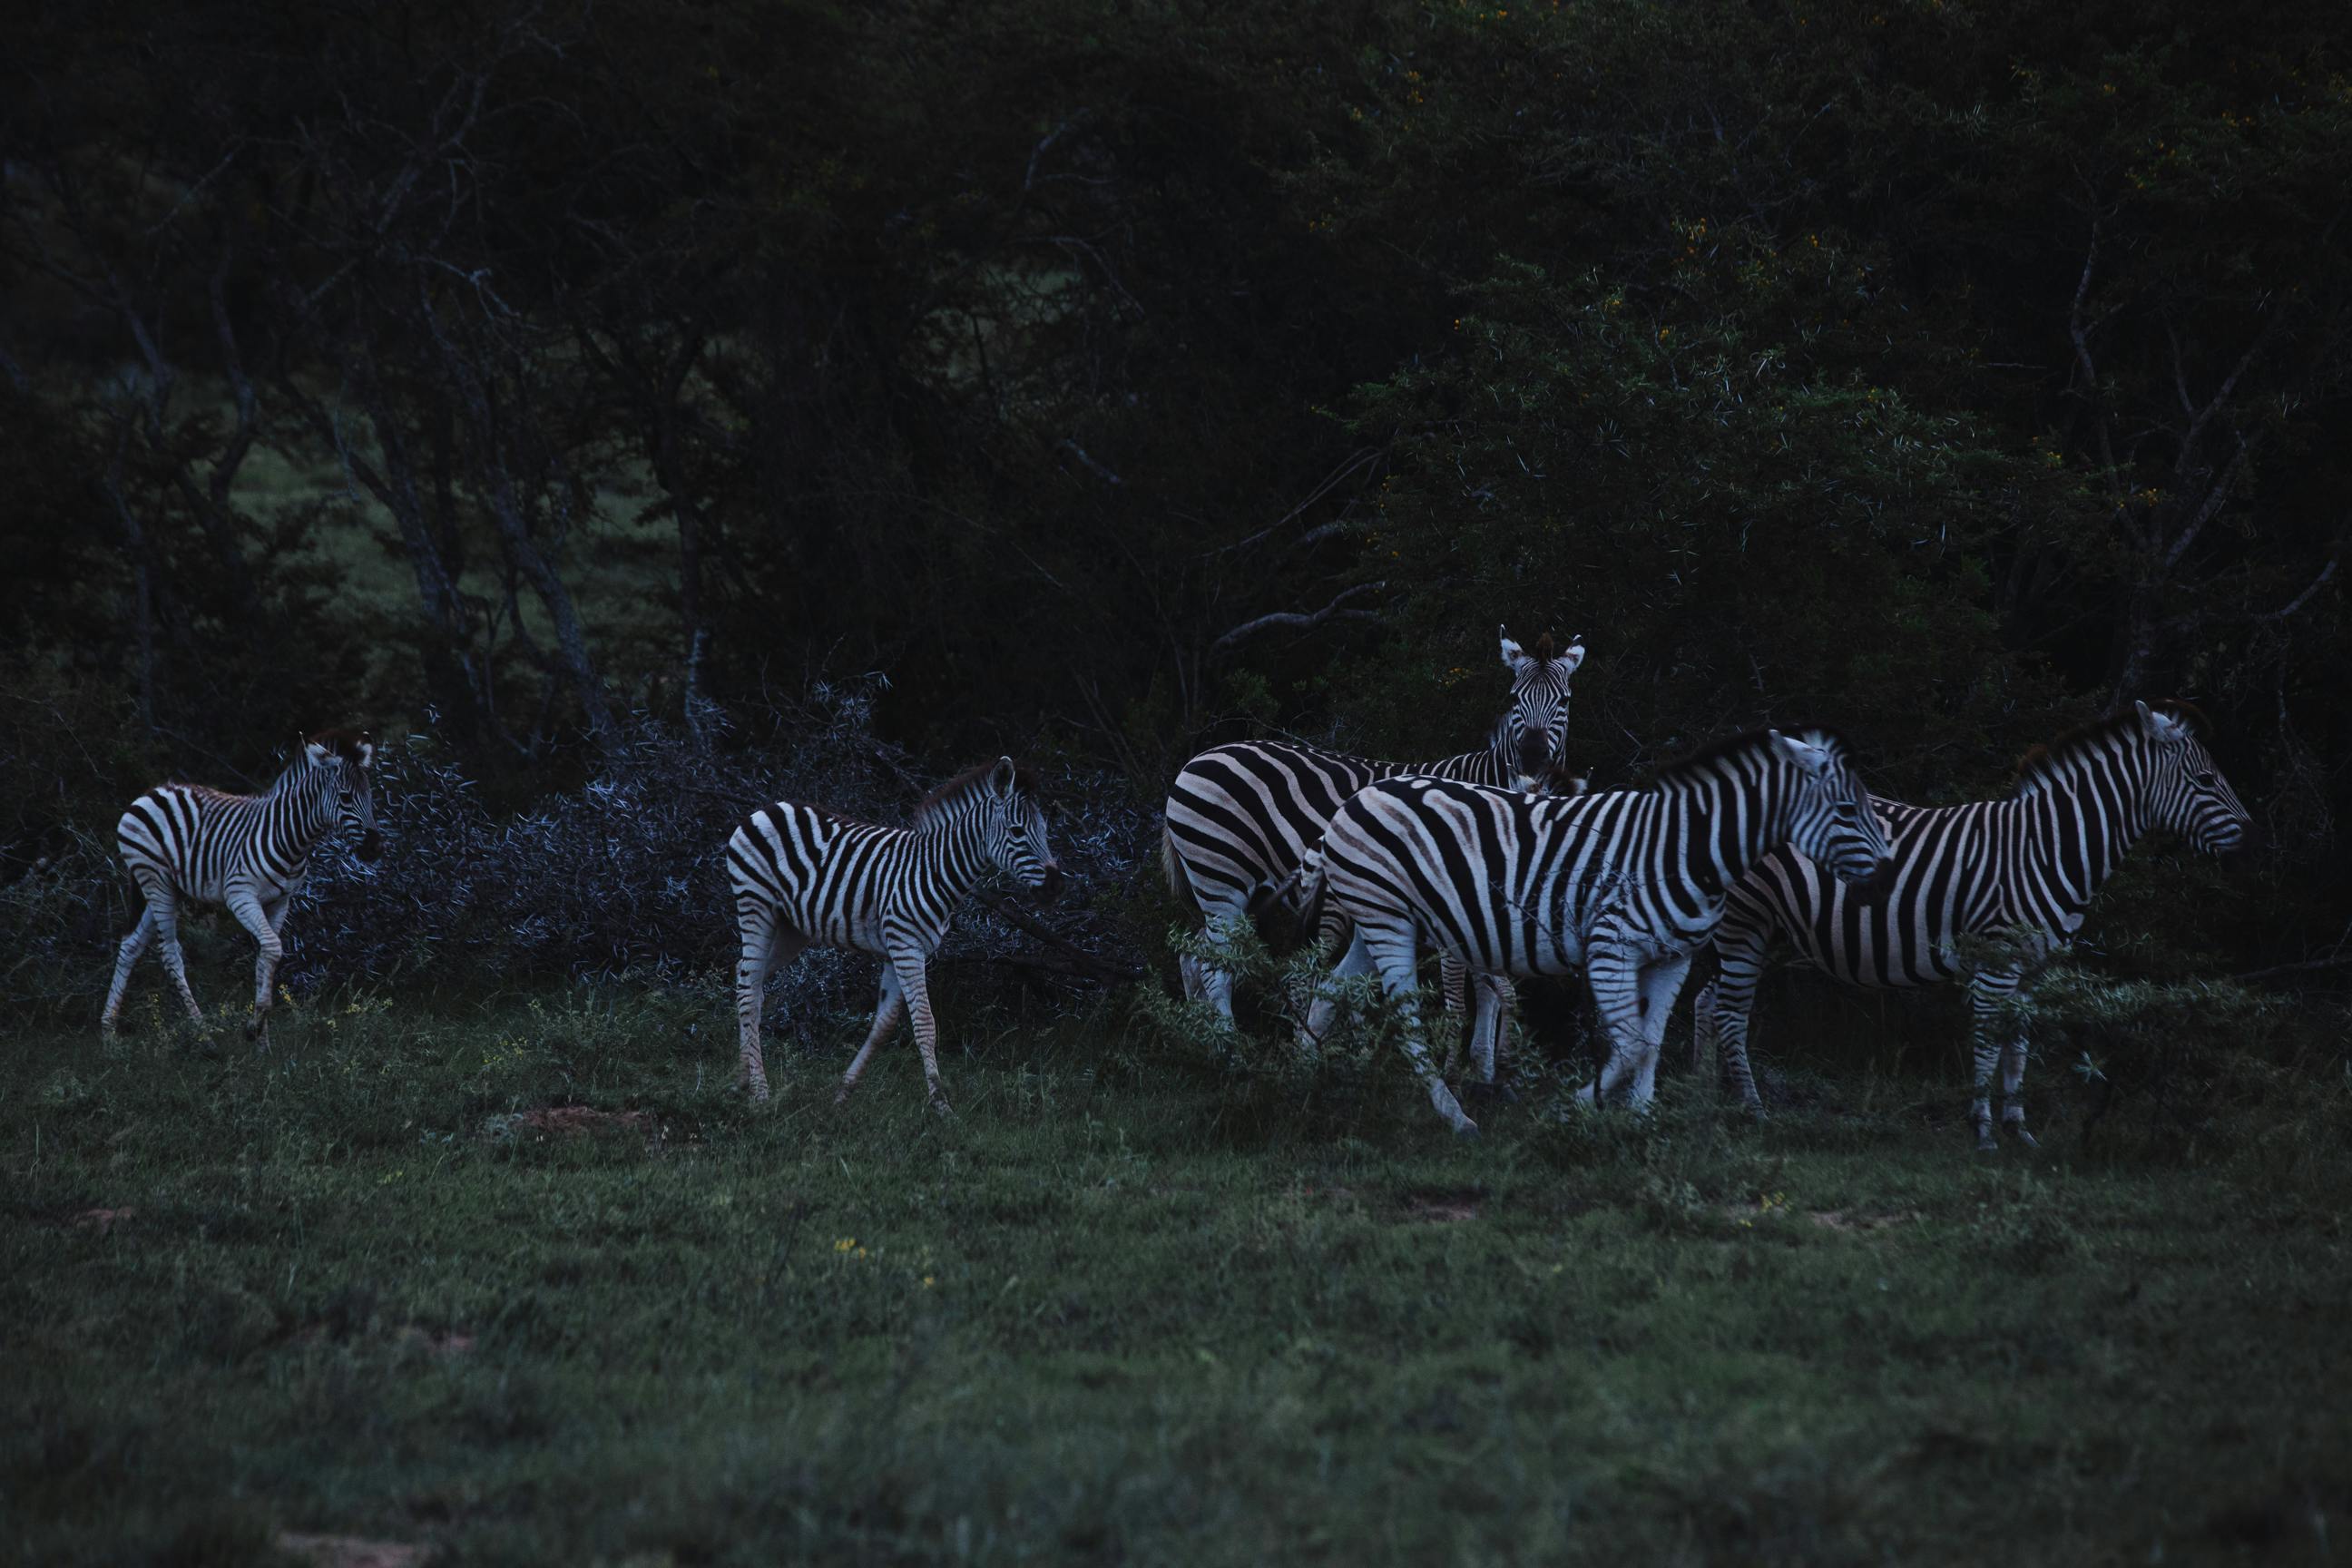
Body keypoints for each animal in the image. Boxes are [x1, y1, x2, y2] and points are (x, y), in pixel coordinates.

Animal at [101, 730, 384, 1044]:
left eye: (370, 795)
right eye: (345, 798)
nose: (375, 848)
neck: (289, 837)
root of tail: (151, 793)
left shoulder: (281, 901)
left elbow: (265, 956)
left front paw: (262, 1039)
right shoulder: (240, 895)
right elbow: (272, 948)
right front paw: (254, 1027)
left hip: (163, 887)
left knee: (131, 945)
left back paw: (109, 1033)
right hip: (154, 877)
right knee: (170, 952)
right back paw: (203, 1033)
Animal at [725, 756, 1060, 1113]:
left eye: (1044, 830)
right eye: (1017, 831)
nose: (1057, 887)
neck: (935, 869)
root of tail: (768, 808)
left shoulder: (900, 950)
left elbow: (883, 1025)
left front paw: (843, 1094)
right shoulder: (906, 945)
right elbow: (925, 1022)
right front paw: (940, 1103)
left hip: (791, 928)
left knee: (748, 979)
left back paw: (742, 1080)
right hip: (755, 904)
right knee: (748, 988)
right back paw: (761, 1092)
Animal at [1161, 627, 1586, 1076]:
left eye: (1564, 700)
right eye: (1514, 697)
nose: (1533, 757)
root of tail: (1198, 758)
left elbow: (1488, 990)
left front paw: (1484, 1070)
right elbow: (1461, 993)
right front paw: (1456, 1070)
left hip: (1233, 889)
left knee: (1193, 957)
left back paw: (1199, 1043)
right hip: (1221, 876)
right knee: (1216, 967)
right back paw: (1229, 1054)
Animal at [1292, 728, 1893, 1134]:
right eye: (1846, 809)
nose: (1889, 875)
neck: (1684, 850)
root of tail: (1353, 802)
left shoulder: (1671, 957)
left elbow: (1650, 1044)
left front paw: (1642, 1122)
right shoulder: (1612, 945)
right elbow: (1628, 1047)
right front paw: (1570, 1111)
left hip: (1375, 917)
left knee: (1329, 994)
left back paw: (1300, 1082)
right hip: (1388, 917)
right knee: (1405, 1017)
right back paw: (1455, 1116)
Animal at [1690, 700, 2251, 1150]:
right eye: (2204, 781)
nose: (2253, 837)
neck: (2046, 848)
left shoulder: (2033, 971)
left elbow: (2018, 1050)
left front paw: (2020, 1131)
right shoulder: (1996, 962)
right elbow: (1985, 1043)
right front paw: (1982, 1132)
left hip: (1752, 931)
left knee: (1706, 1002)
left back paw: (1706, 1099)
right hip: (1745, 924)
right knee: (1731, 1015)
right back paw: (1753, 1111)